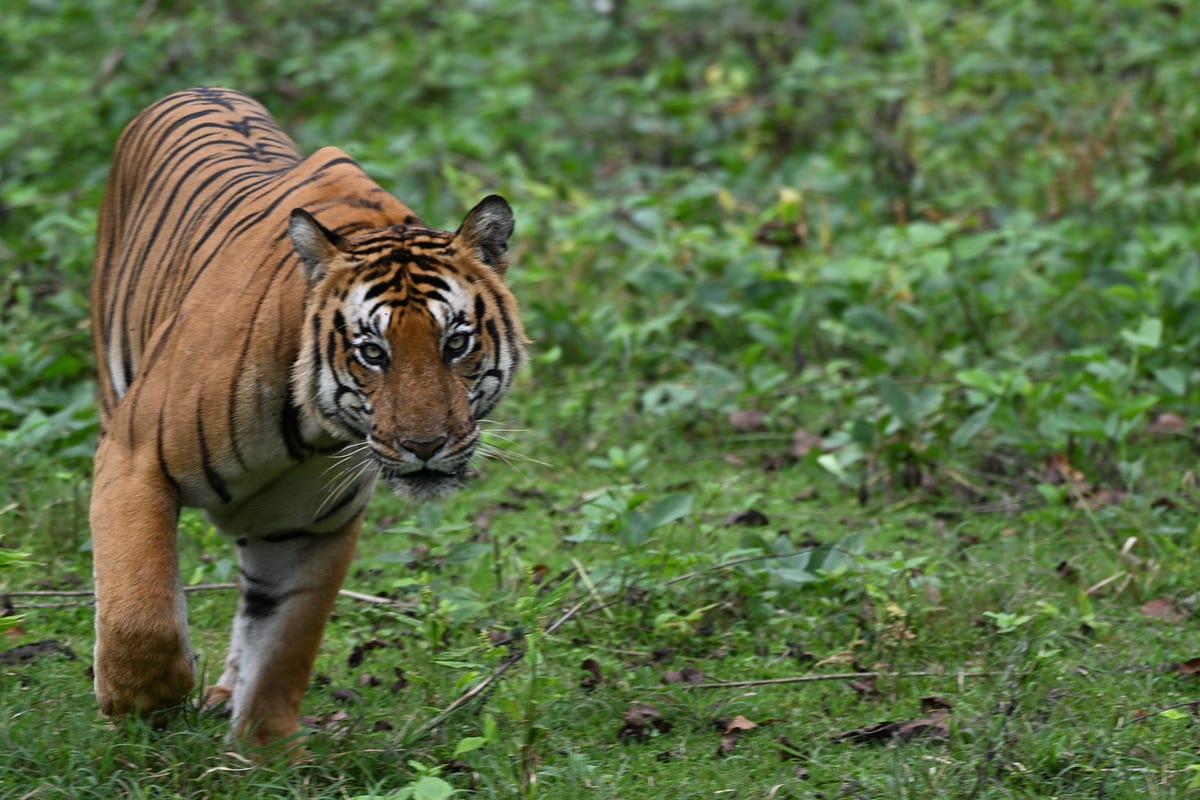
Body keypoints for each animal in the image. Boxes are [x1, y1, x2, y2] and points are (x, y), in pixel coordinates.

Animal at [89, 87, 527, 746]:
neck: (315, 430)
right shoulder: (134, 458)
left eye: (455, 344)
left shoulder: (307, 526)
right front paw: (141, 703)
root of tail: (200, 88)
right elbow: (142, 612)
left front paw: (261, 751)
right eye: (373, 352)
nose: (426, 445)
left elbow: (283, 646)